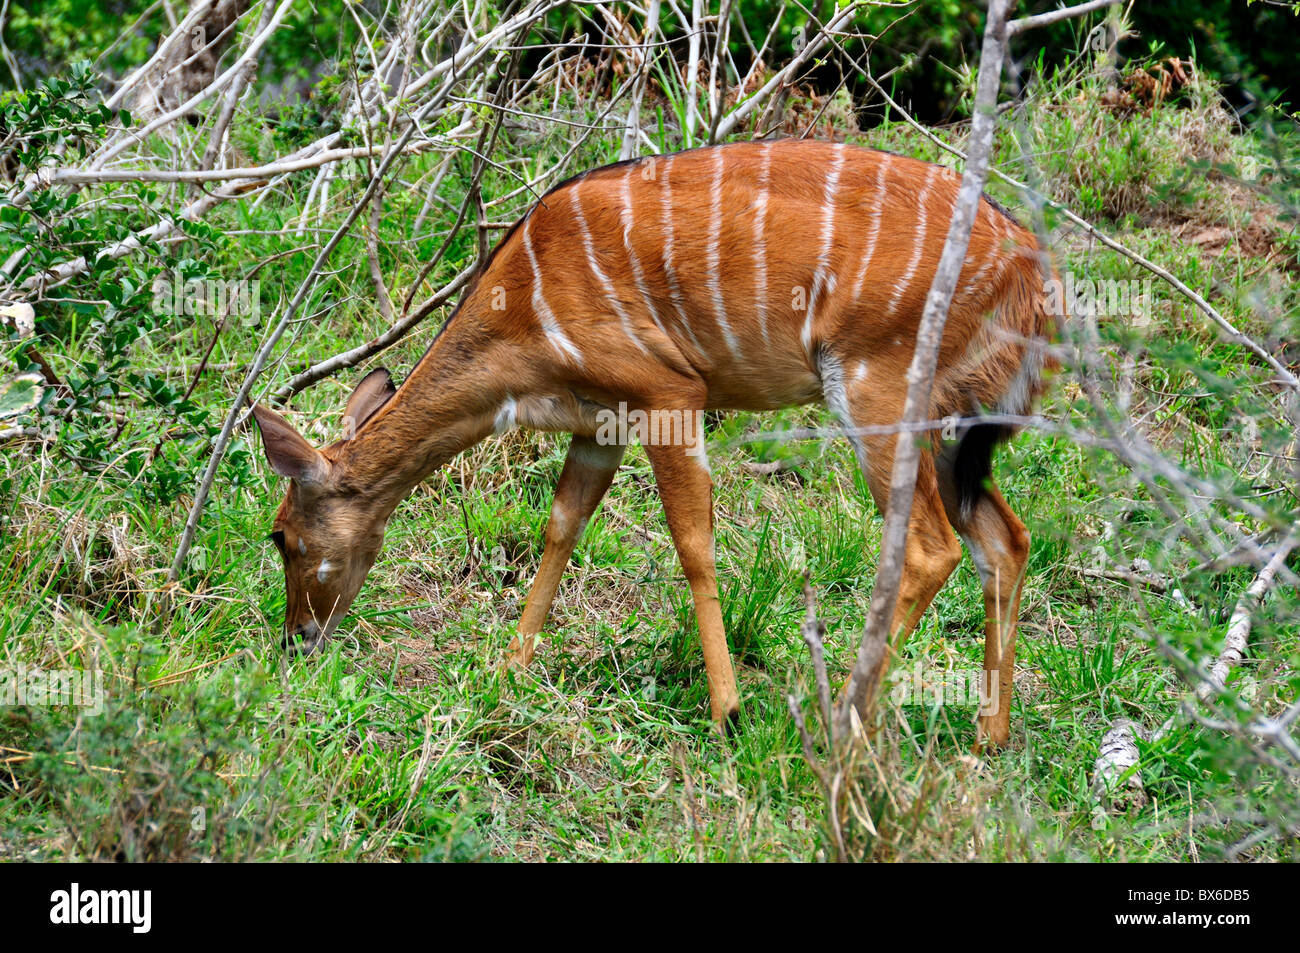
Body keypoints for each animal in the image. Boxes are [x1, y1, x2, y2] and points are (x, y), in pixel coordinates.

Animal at [253, 139, 1056, 748]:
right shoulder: (600, 425)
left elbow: (693, 542)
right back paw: (987, 736)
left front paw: (728, 710)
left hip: (877, 391)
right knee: (1005, 539)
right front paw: (509, 666)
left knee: (930, 546)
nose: (296, 639)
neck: (519, 307)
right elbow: (562, 525)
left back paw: (841, 722)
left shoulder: (670, 392)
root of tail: (1031, 266)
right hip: (952, 423)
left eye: (281, 536)